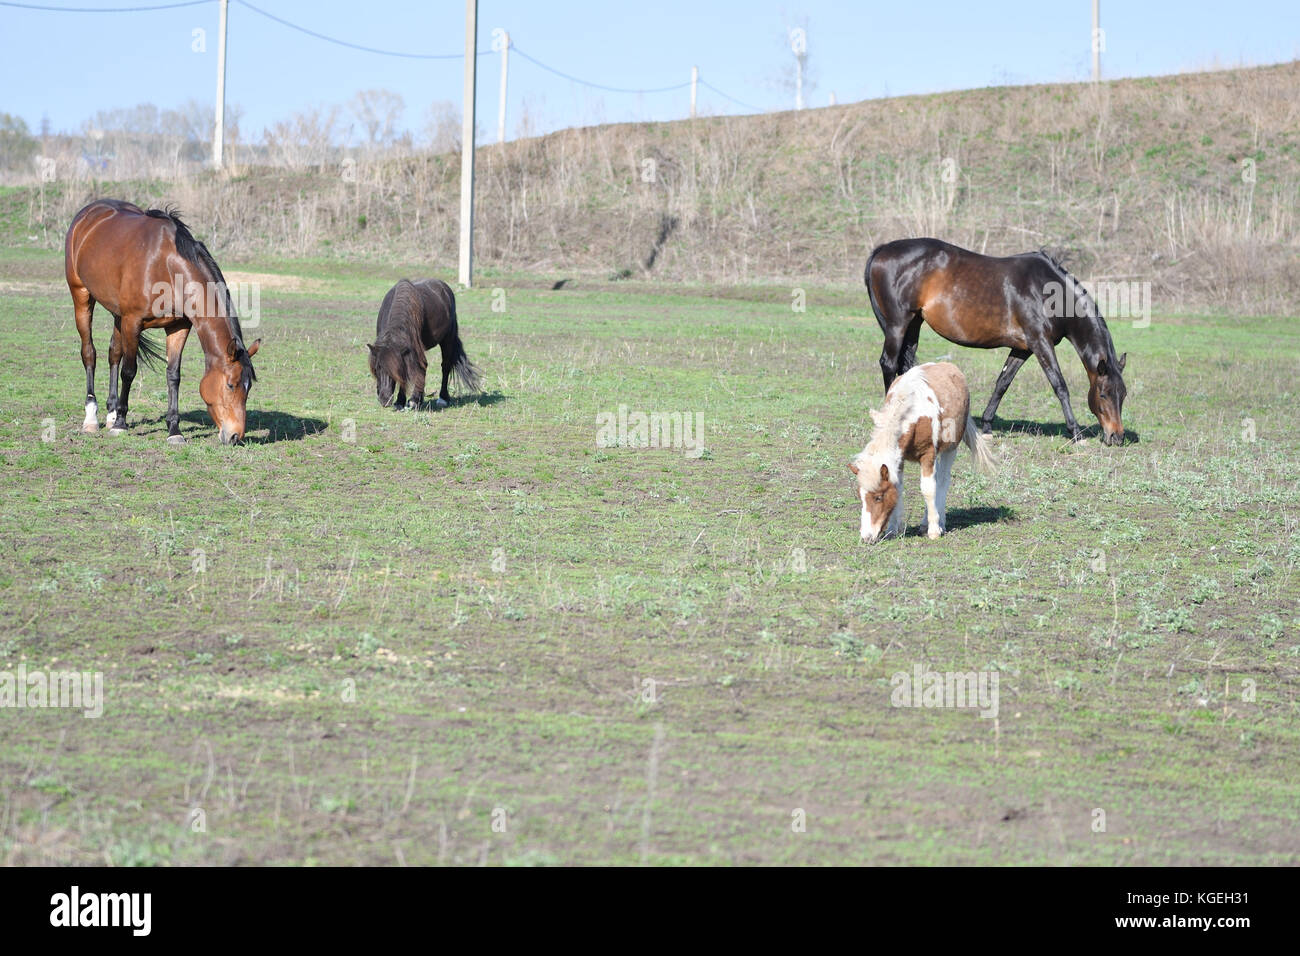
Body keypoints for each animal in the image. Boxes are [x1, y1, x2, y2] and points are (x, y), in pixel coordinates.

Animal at [64, 199, 260, 445]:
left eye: (248, 388)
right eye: (230, 385)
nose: (235, 436)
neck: (166, 265)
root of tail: (89, 212)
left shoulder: (178, 326)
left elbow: (173, 375)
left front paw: (174, 430)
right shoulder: (132, 322)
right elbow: (129, 371)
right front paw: (121, 424)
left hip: (117, 315)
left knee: (114, 354)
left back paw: (111, 414)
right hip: (81, 296)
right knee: (89, 353)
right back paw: (92, 418)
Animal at [367, 279, 481, 409]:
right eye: (377, 368)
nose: (385, 400)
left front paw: (411, 400)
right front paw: (401, 402)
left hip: (447, 339)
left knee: (445, 366)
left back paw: (442, 398)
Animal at [849, 361, 995, 542]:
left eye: (878, 497)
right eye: (860, 496)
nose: (866, 536)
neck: (912, 411)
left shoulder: (928, 454)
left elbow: (928, 489)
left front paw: (934, 531)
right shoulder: (899, 459)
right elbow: (899, 488)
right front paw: (893, 530)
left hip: (950, 449)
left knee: (943, 481)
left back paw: (940, 524)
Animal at [865, 237, 1128, 445]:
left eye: (1123, 395)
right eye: (1103, 394)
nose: (1116, 436)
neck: (1047, 291)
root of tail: (883, 249)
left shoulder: (1023, 348)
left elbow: (1002, 383)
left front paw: (987, 426)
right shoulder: (1040, 343)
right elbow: (1059, 385)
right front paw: (1075, 432)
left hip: (914, 324)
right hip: (898, 325)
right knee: (888, 364)